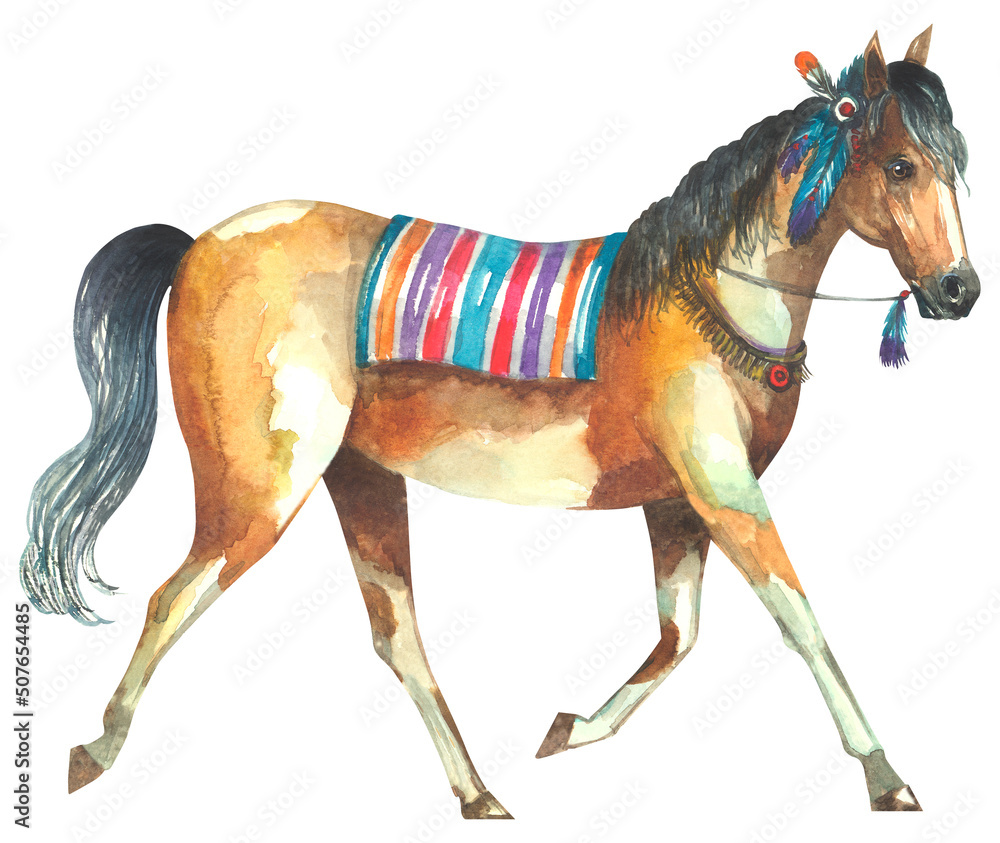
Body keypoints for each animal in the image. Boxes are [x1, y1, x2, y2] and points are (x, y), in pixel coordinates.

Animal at [19, 28, 977, 817]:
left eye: (955, 164)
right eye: (901, 165)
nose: (959, 289)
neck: (700, 292)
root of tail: (197, 246)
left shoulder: (676, 503)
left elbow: (680, 635)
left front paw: (575, 728)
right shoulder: (721, 488)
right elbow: (799, 619)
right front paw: (886, 775)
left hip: (359, 479)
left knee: (395, 636)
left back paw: (478, 790)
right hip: (263, 488)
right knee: (174, 595)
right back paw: (95, 748)